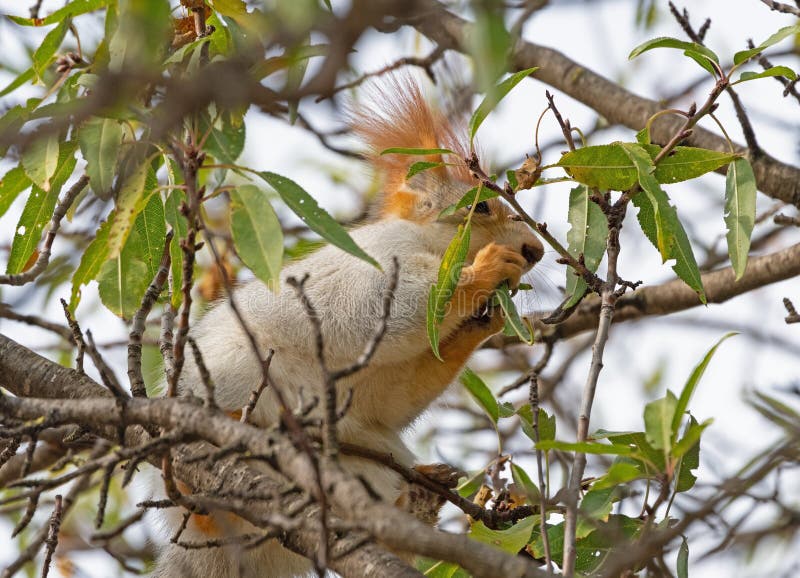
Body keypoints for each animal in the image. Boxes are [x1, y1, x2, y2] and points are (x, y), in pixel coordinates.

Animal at [152, 76, 544, 577]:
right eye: (479, 210)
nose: (536, 250)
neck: (431, 245)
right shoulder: (376, 264)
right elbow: (384, 306)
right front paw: (486, 271)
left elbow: (399, 393)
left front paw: (487, 320)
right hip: (237, 382)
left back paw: (417, 499)